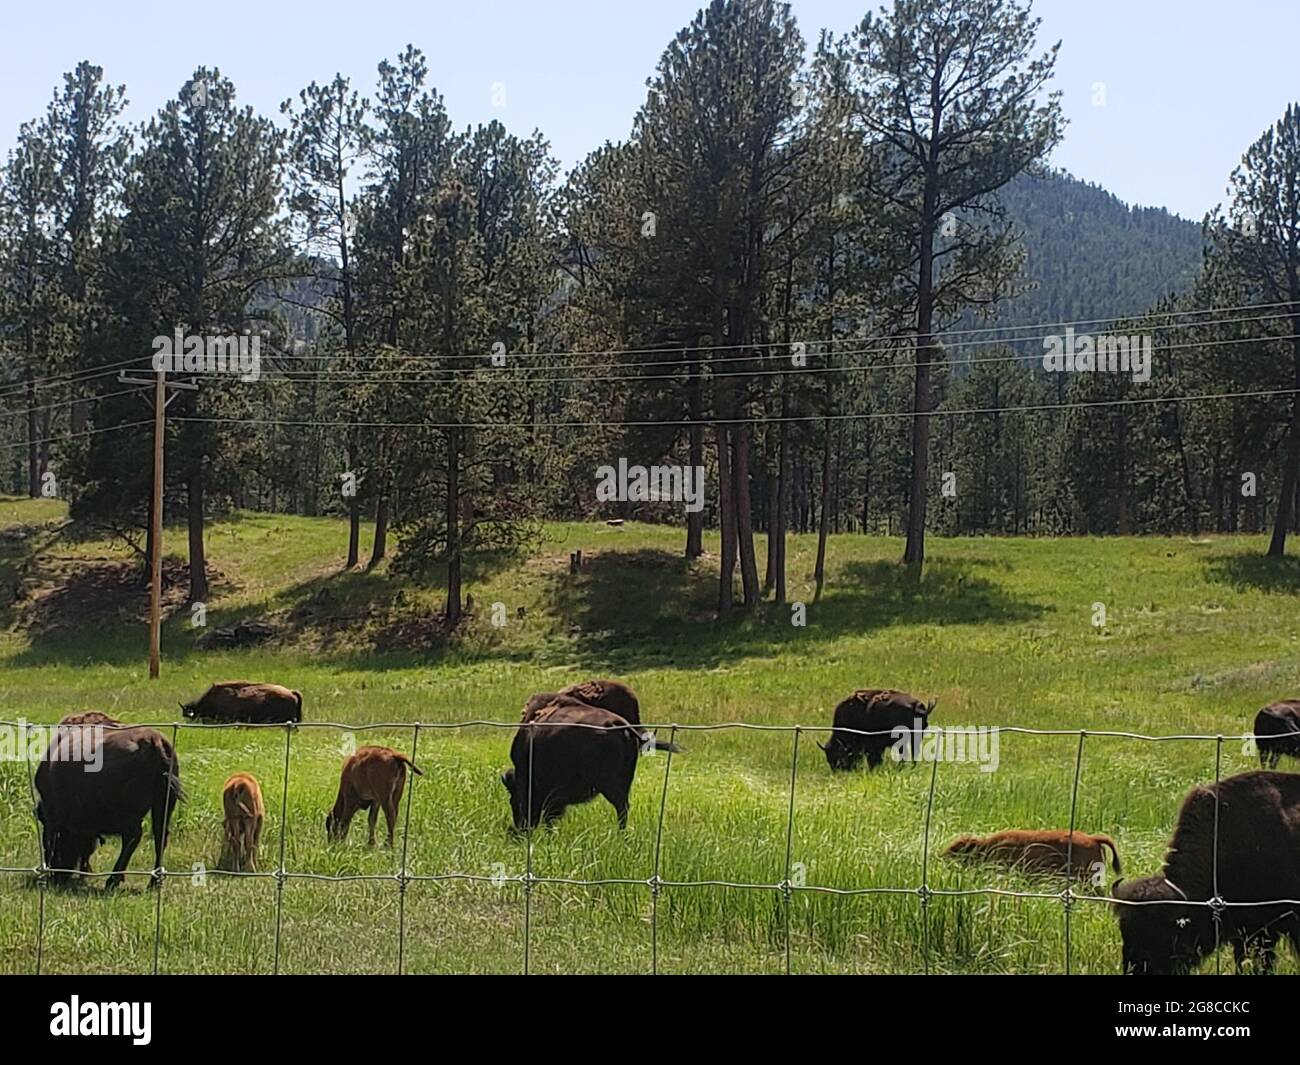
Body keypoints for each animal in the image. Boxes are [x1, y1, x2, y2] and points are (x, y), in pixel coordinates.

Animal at [34, 722, 184, 888]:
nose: (60, 877)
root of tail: (153, 739)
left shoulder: (51, 816)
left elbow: (49, 842)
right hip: (163, 805)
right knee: (160, 836)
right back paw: (153, 882)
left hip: (131, 814)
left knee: (133, 837)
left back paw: (113, 880)